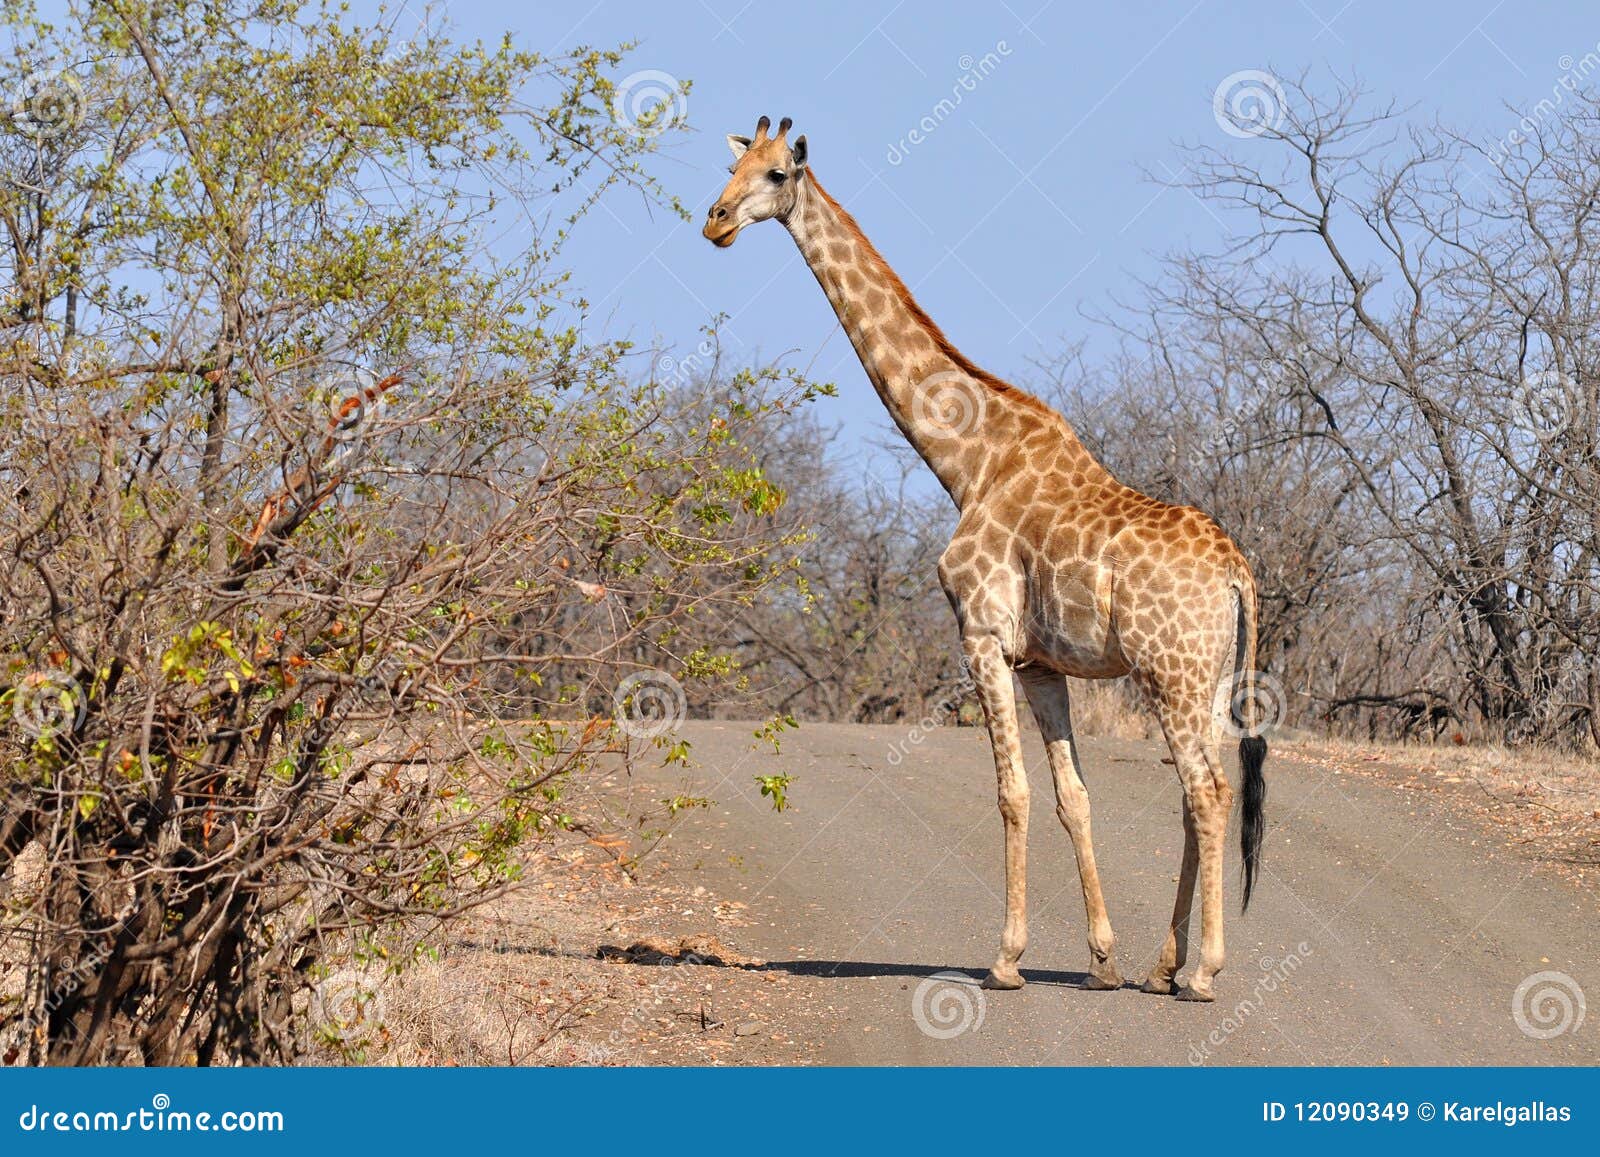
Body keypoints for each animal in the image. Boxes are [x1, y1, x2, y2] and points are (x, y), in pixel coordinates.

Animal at [703, 117, 1268, 1002]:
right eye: (730, 166)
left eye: (774, 175)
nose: (717, 221)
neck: (967, 458)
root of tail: (1238, 571)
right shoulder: (1041, 662)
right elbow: (1072, 796)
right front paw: (1102, 957)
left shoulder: (980, 634)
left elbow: (1012, 793)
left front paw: (1006, 958)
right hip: (1206, 678)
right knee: (1197, 791)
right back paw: (1160, 964)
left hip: (1168, 672)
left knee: (1207, 791)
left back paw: (1204, 970)